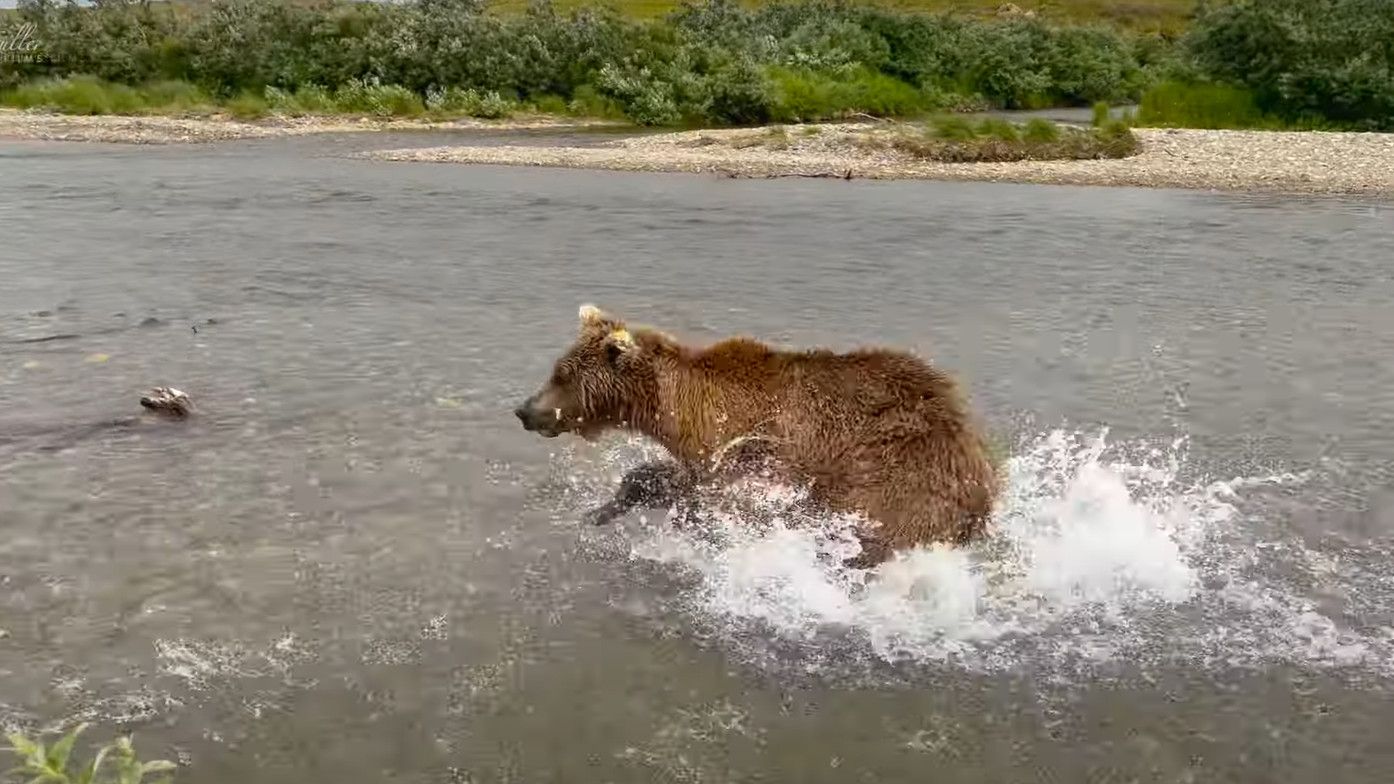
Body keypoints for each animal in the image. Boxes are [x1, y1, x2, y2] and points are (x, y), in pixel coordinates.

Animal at [513, 304, 1000, 569]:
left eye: (561, 375)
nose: (524, 411)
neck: (680, 408)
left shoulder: (753, 450)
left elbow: (728, 501)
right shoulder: (706, 454)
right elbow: (670, 479)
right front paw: (602, 510)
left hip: (897, 478)